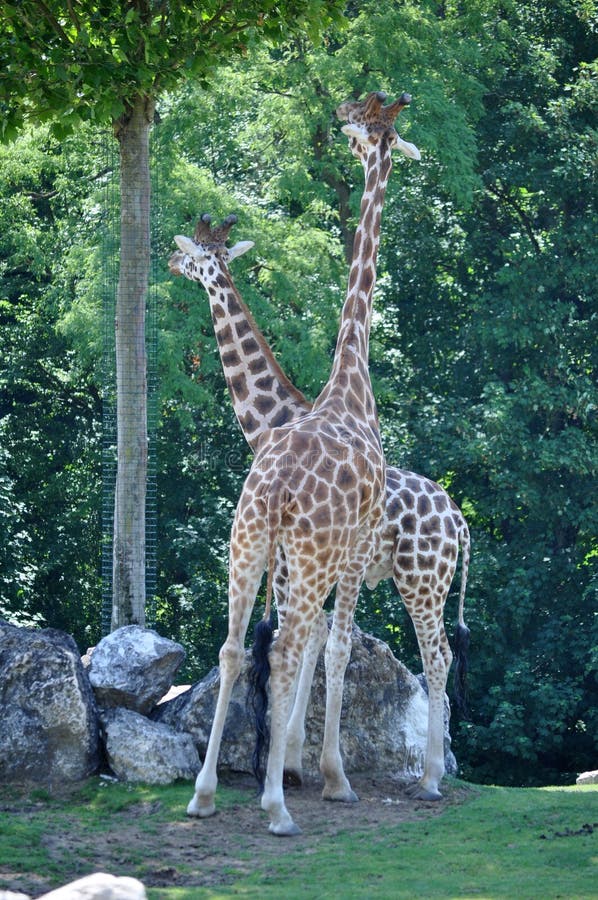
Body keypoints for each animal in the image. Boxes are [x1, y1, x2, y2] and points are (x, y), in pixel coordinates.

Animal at [169, 95, 469, 805]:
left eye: (193, 255)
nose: (169, 262)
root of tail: (461, 520)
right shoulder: (296, 560)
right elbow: (299, 645)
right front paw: (289, 762)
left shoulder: (317, 559)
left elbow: (317, 647)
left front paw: (302, 766)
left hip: (420, 578)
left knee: (436, 654)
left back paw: (431, 778)